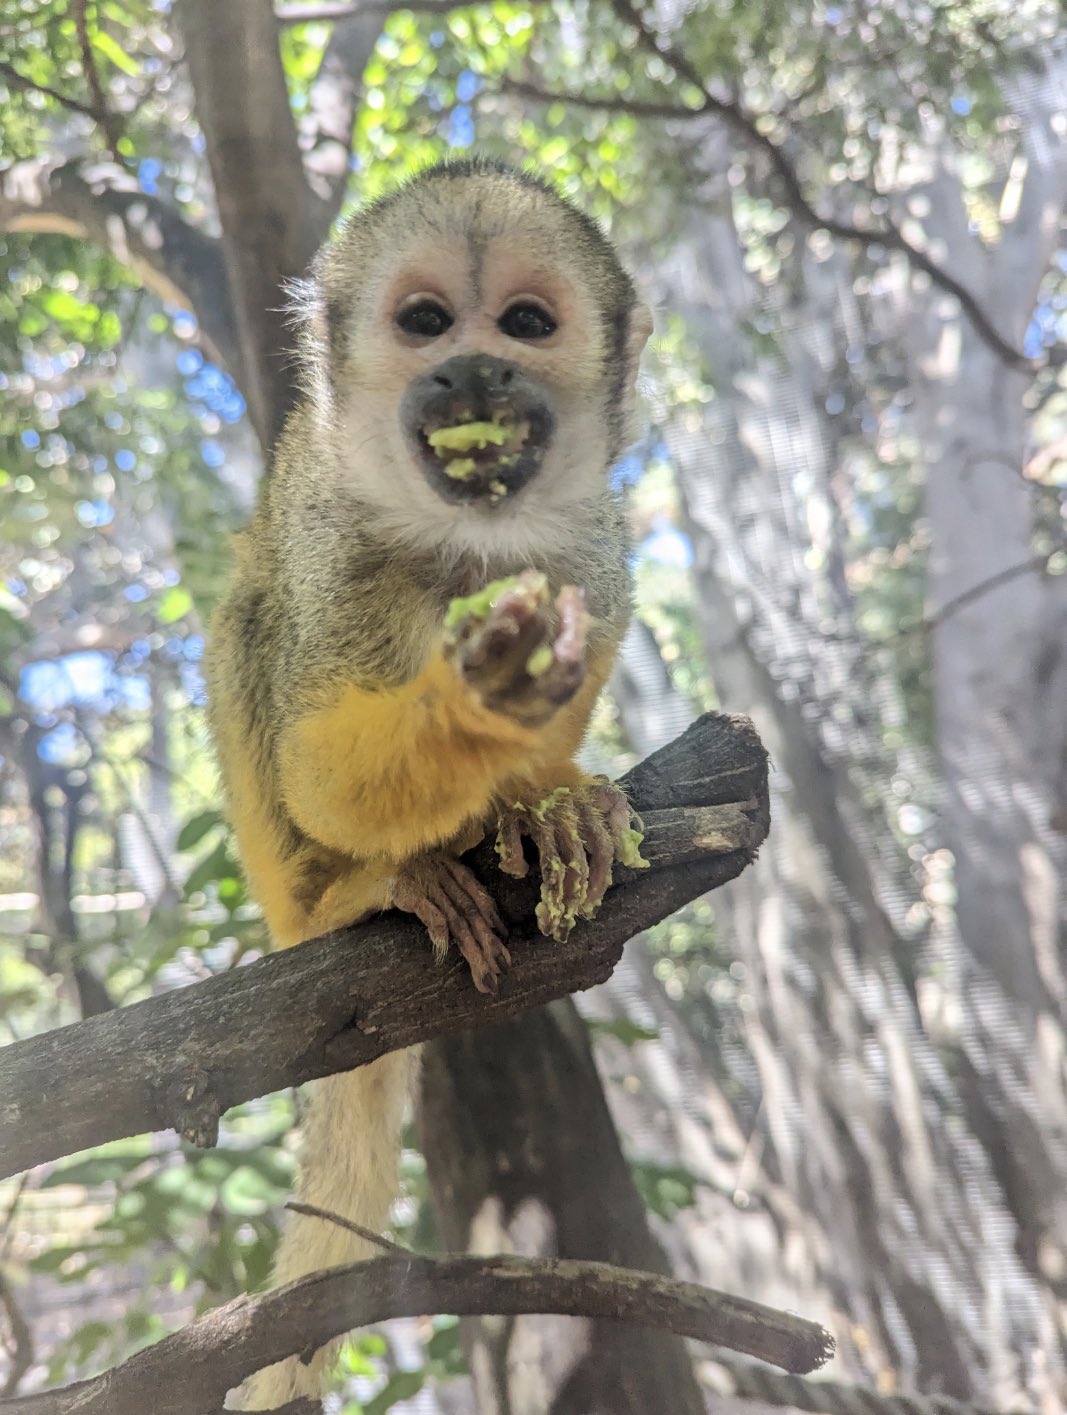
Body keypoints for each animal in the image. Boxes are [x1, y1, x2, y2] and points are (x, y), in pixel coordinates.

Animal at [205, 157, 652, 1408]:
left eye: (526, 323)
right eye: (424, 323)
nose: (471, 369)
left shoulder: (594, 554)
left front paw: (548, 798)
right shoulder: (335, 545)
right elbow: (321, 771)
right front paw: (472, 701)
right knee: (250, 620)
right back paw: (359, 890)